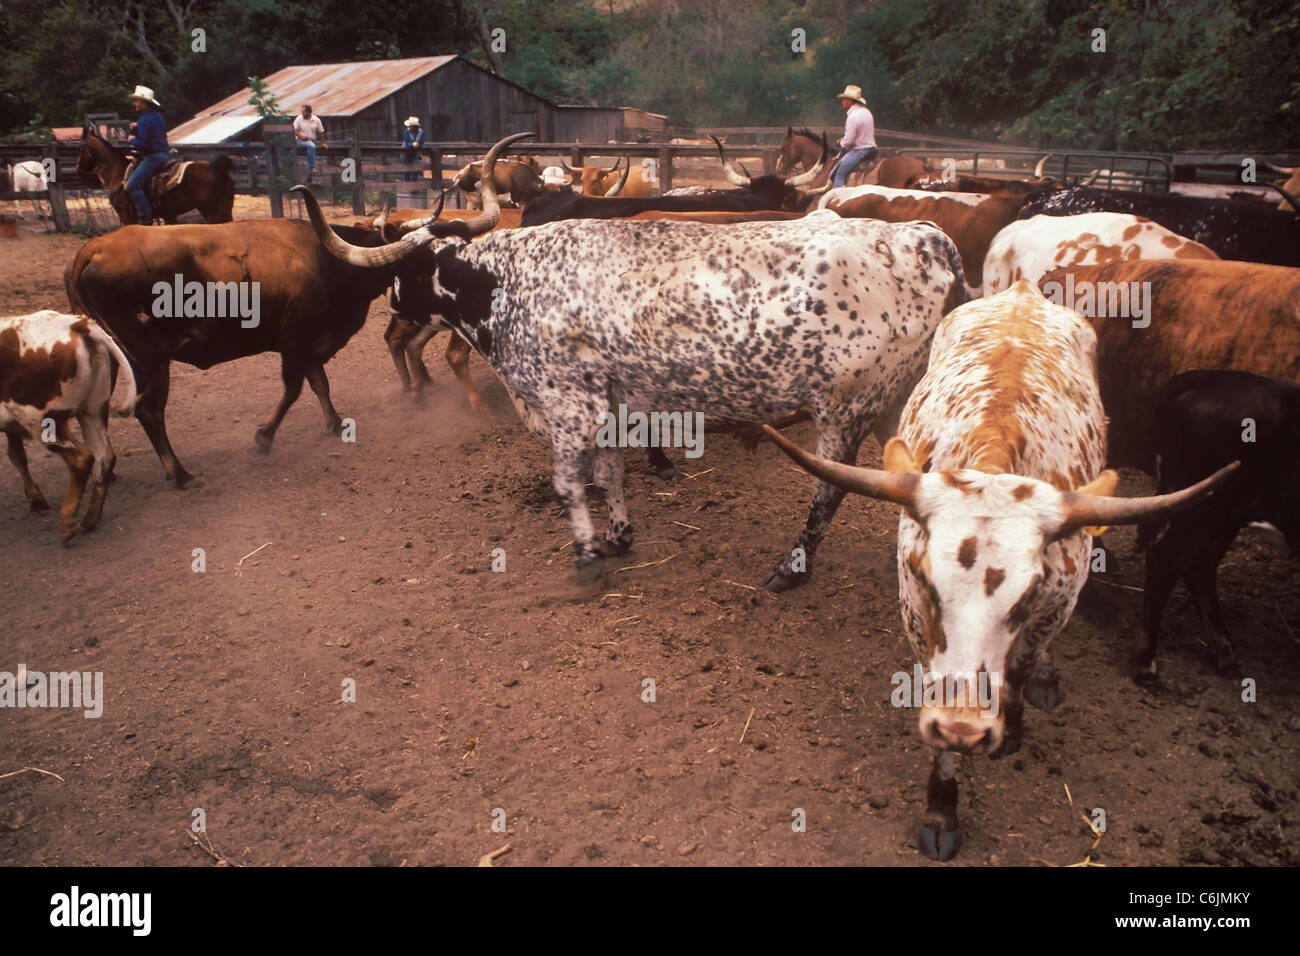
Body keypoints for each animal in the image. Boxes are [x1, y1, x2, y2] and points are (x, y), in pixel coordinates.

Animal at [2, 310, 137, 540]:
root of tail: (76, 324)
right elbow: (16, 455)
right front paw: (35, 498)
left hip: (40, 420)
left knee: (81, 459)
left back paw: (68, 521)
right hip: (92, 410)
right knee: (105, 458)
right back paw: (89, 519)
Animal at [64, 182, 500, 489]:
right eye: (423, 264)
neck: (329, 260)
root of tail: (93, 248)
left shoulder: (310, 344)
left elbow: (320, 383)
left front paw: (334, 423)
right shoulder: (294, 342)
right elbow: (294, 389)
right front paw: (264, 436)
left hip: (113, 357)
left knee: (97, 410)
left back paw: (110, 470)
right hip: (149, 357)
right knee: (149, 412)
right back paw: (180, 473)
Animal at [299, 132, 971, 591]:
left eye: (405, 271)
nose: (390, 298)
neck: (506, 281)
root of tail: (925, 237)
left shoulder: (569, 407)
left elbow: (570, 483)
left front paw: (587, 555)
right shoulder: (609, 407)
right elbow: (609, 475)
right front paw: (619, 536)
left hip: (845, 408)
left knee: (827, 493)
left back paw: (791, 568)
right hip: (894, 403)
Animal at [763, 280, 1235, 859]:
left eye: (1029, 592)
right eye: (923, 577)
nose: (964, 730)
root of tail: (1022, 291)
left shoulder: (1059, 600)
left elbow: (1021, 665)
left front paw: (1012, 725)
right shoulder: (916, 620)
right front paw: (941, 809)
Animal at [1135, 370, 1300, 680]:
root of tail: (1212, 377)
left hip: (1223, 516)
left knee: (1199, 567)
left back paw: (1224, 653)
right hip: (1203, 506)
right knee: (1165, 560)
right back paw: (1145, 661)